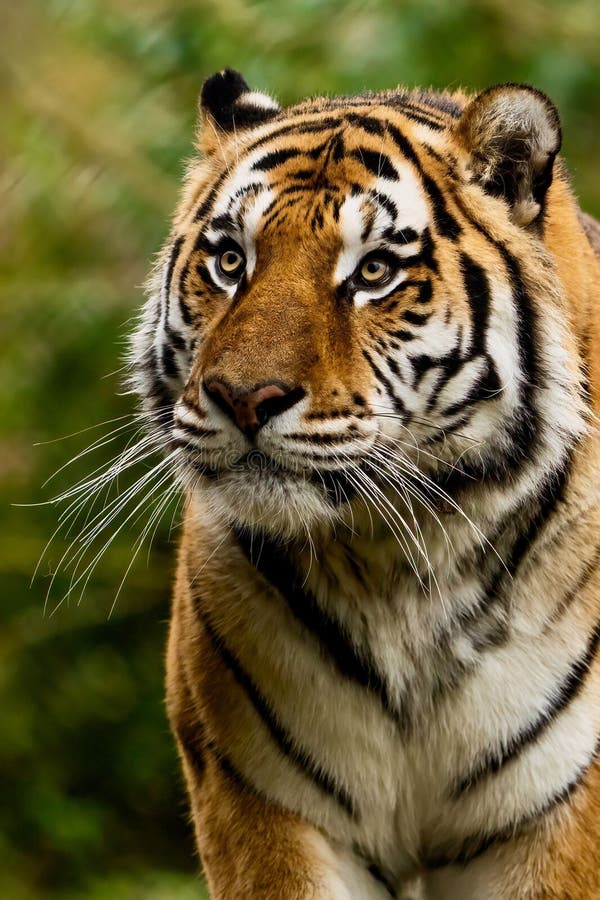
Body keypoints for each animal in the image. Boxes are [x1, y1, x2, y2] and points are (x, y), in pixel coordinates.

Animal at [129, 68, 600, 899]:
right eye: (230, 261)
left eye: (374, 272)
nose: (243, 397)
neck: (399, 566)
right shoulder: (263, 803)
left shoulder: (560, 815)